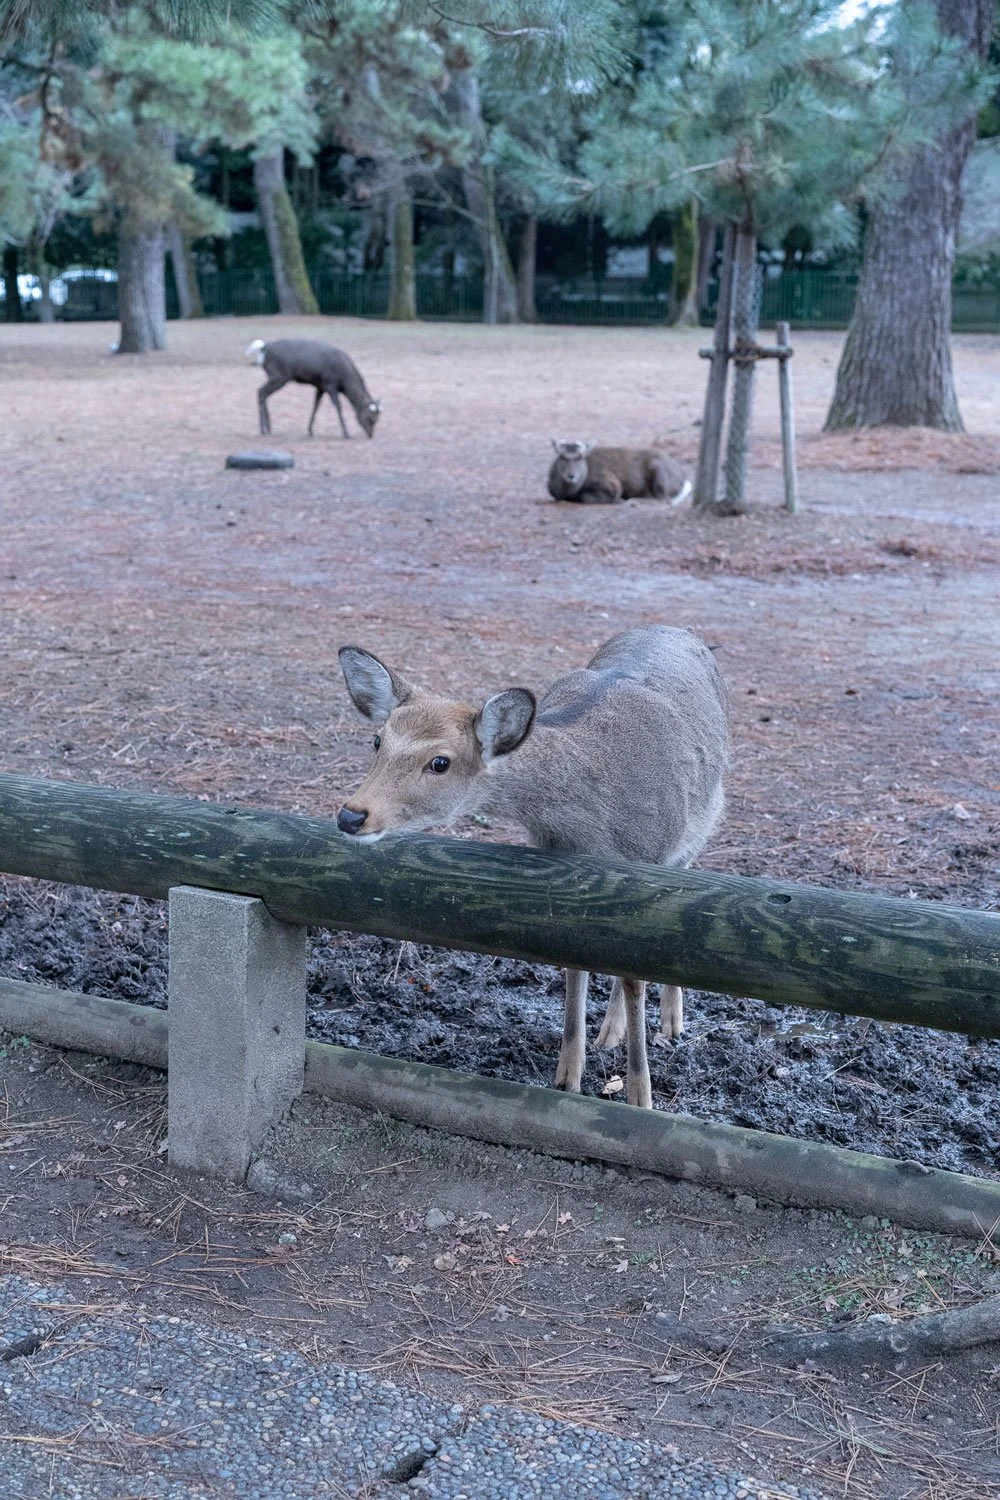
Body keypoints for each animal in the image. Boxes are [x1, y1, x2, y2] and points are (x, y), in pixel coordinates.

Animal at [244, 338, 382, 439]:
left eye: (377, 420)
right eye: (371, 418)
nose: (370, 435)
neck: (344, 381)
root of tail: (263, 348)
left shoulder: (320, 386)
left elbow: (315, 406)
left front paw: (310, 431)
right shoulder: (330, 384)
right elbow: (338, 407)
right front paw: (346, 433)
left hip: (276, 377)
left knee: (261, 392)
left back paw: (267, 428)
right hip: (279, 376)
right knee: (261, 392)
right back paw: (264, 429)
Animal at [335, 626, 729, 1109]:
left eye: (440, 762)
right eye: (378, 741)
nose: (352, 815)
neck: (592, 830)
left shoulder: (650, 864)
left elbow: (635, 976)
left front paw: (641, 1097)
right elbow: (575, 964)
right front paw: (567, 1078)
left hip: (703, 821)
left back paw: (671, 1024)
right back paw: (609, 1033)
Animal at [548, 440, 691, 505]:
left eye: (580, 457)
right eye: (562, 457)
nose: (571, 476)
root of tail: (684, 478)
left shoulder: (611, 482)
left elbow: (587, 497)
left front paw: (618, 500)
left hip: (659, 472)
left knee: (662, 499)